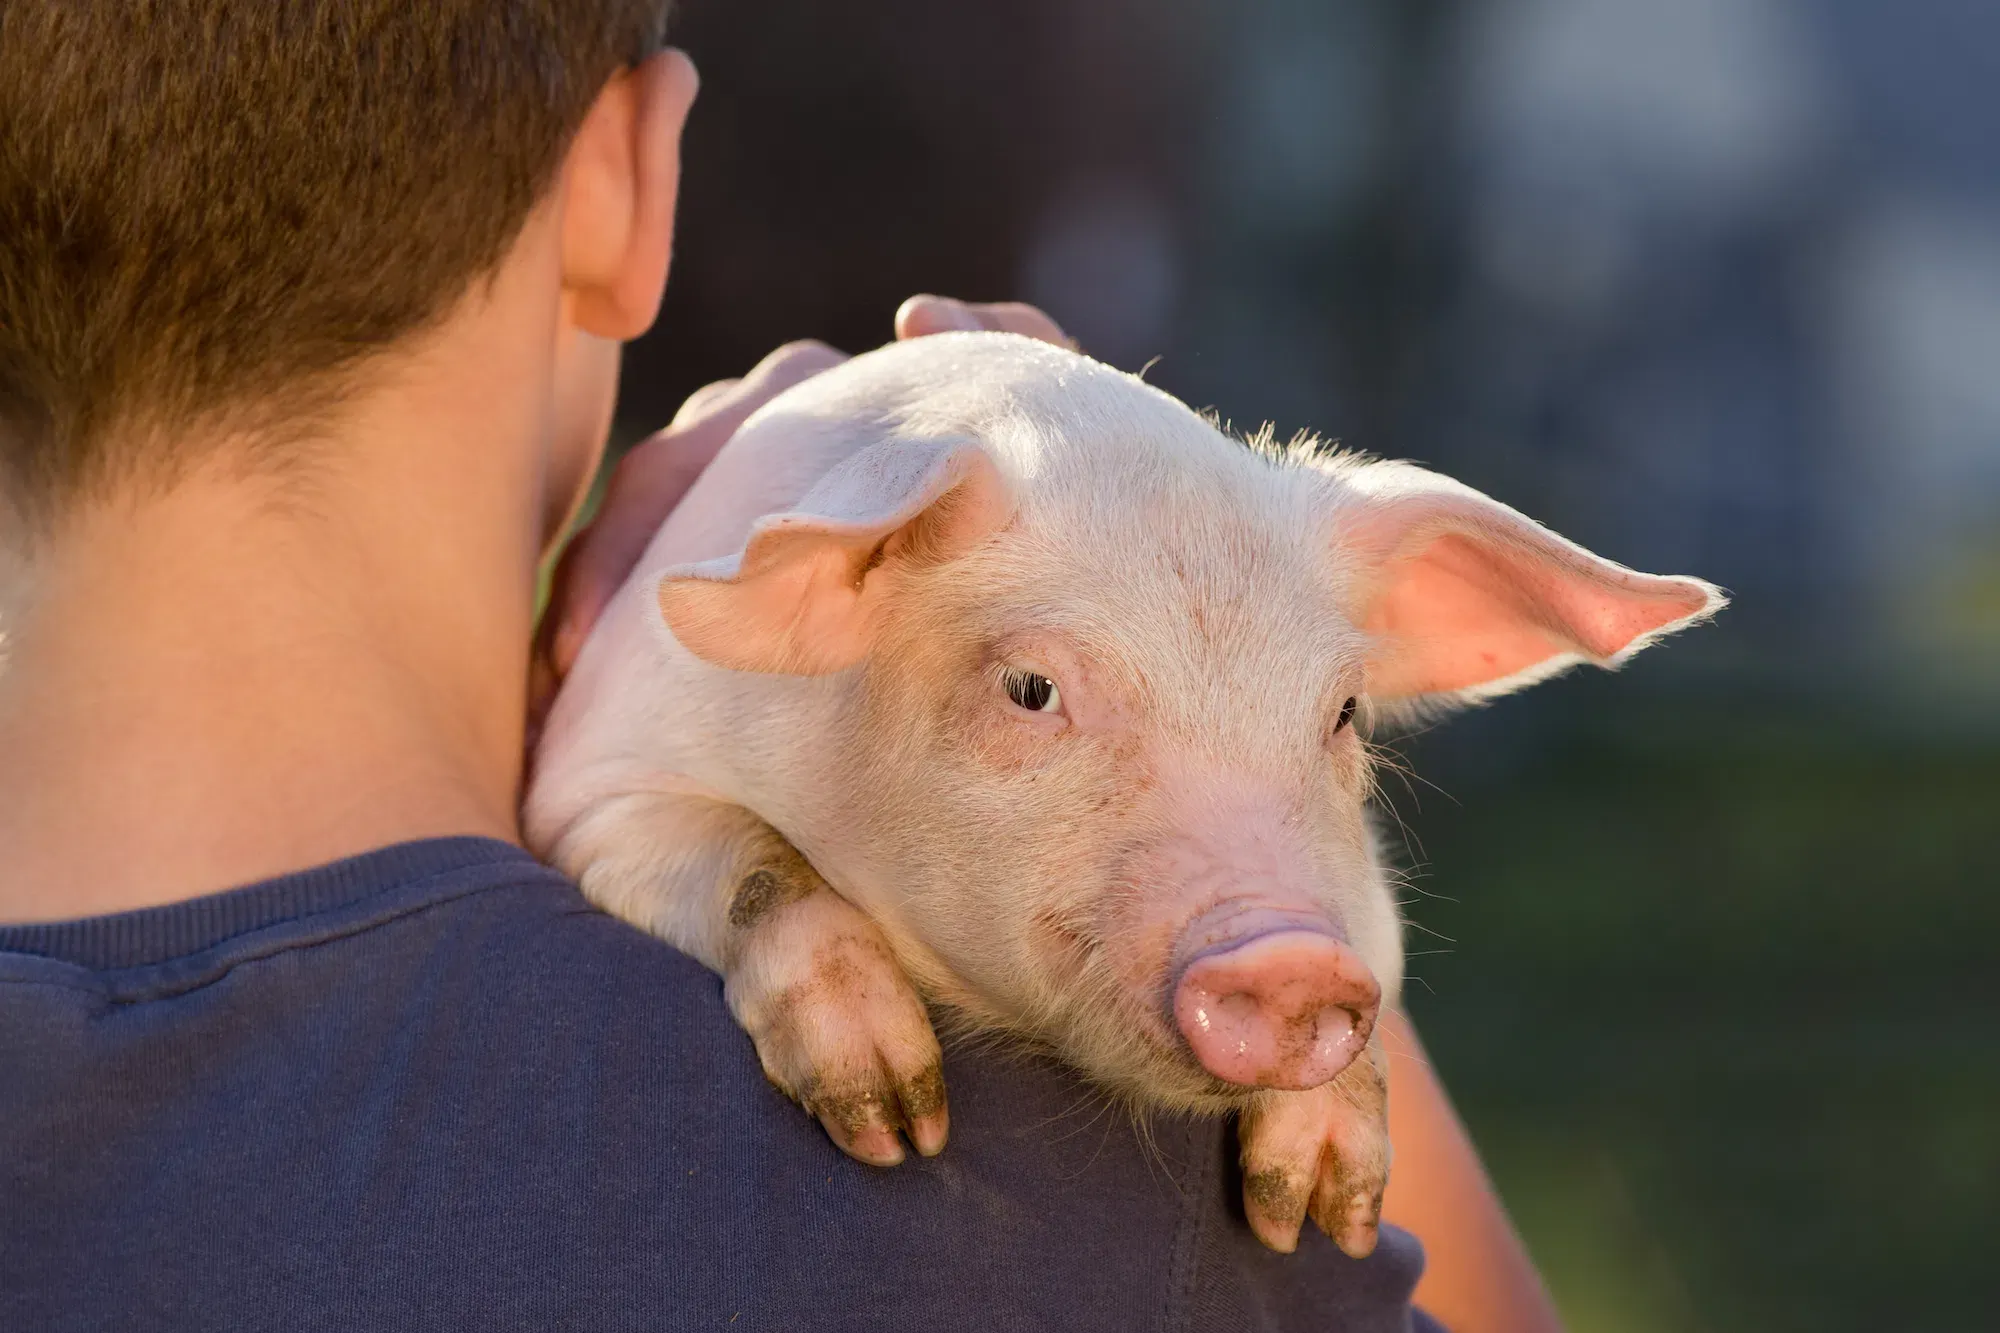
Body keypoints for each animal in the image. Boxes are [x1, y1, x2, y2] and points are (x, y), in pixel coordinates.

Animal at [524, 331, 1723, 1259]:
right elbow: (755, 862)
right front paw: (896, 1127)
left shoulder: (1361, 900)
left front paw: (1310, 1218)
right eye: (1030, 687)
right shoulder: (593, 781)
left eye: (1341, 711)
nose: (1288, 959)